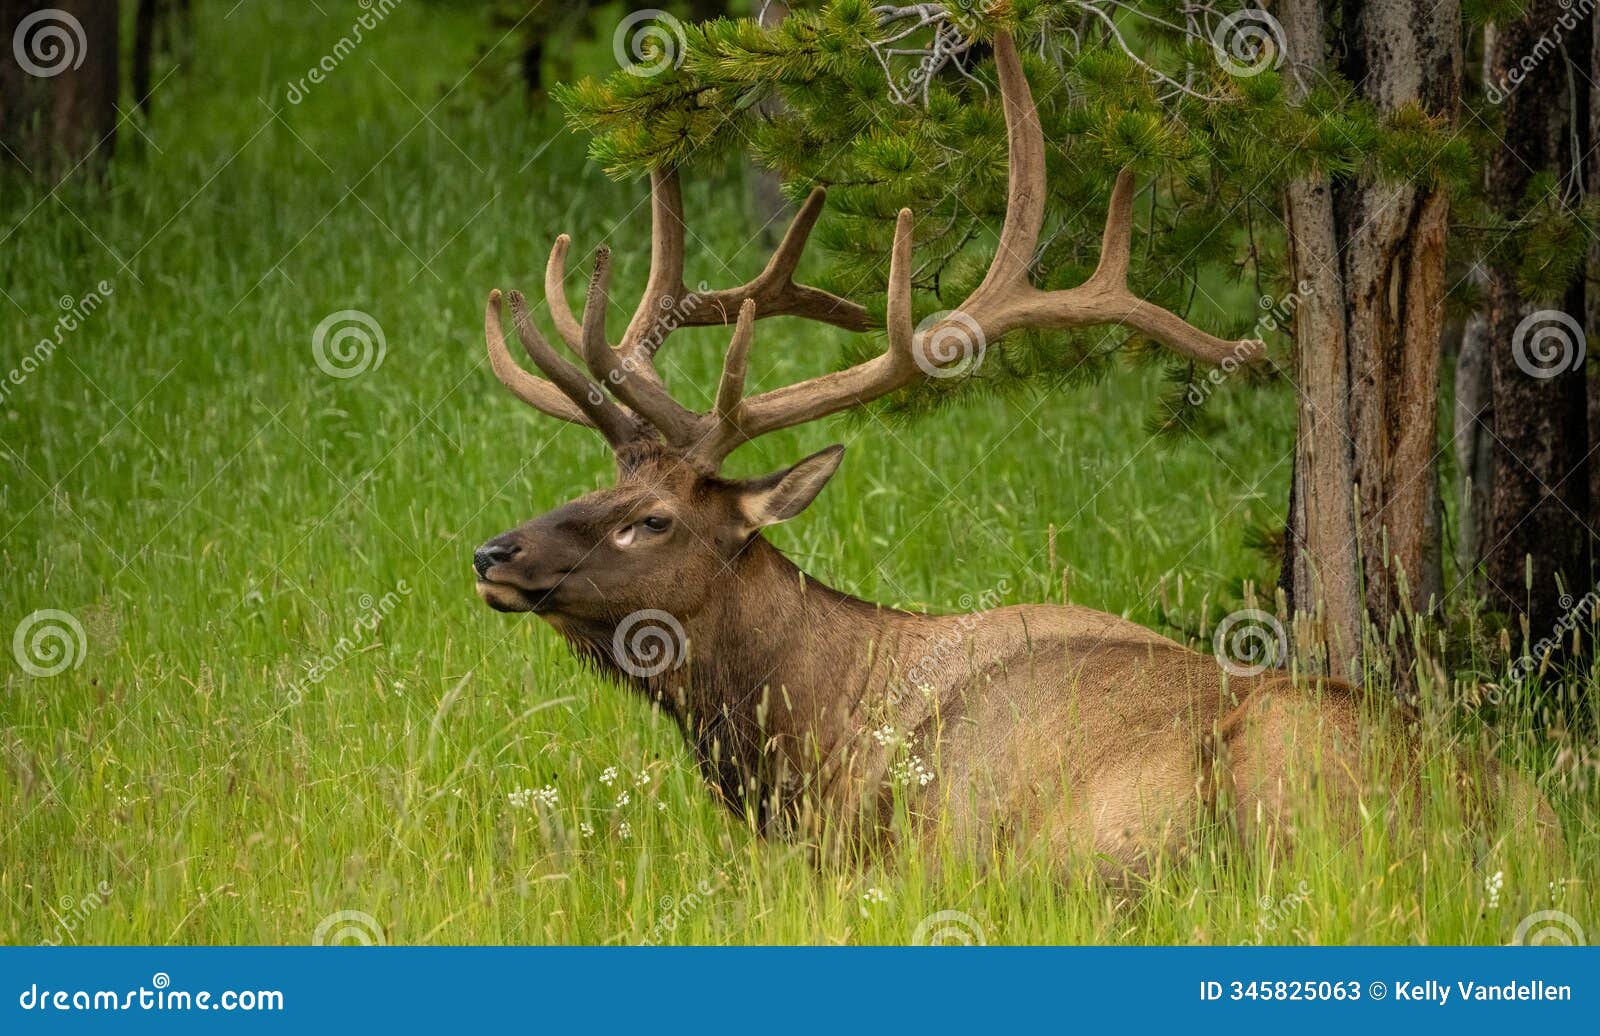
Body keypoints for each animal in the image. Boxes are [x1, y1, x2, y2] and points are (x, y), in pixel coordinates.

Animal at [471, 33, 1558, 879]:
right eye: (595, 485)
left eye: (650, 520)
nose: (491, 553)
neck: (815, 738)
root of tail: (1490, 816)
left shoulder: (912, 852)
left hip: (1283, 779)